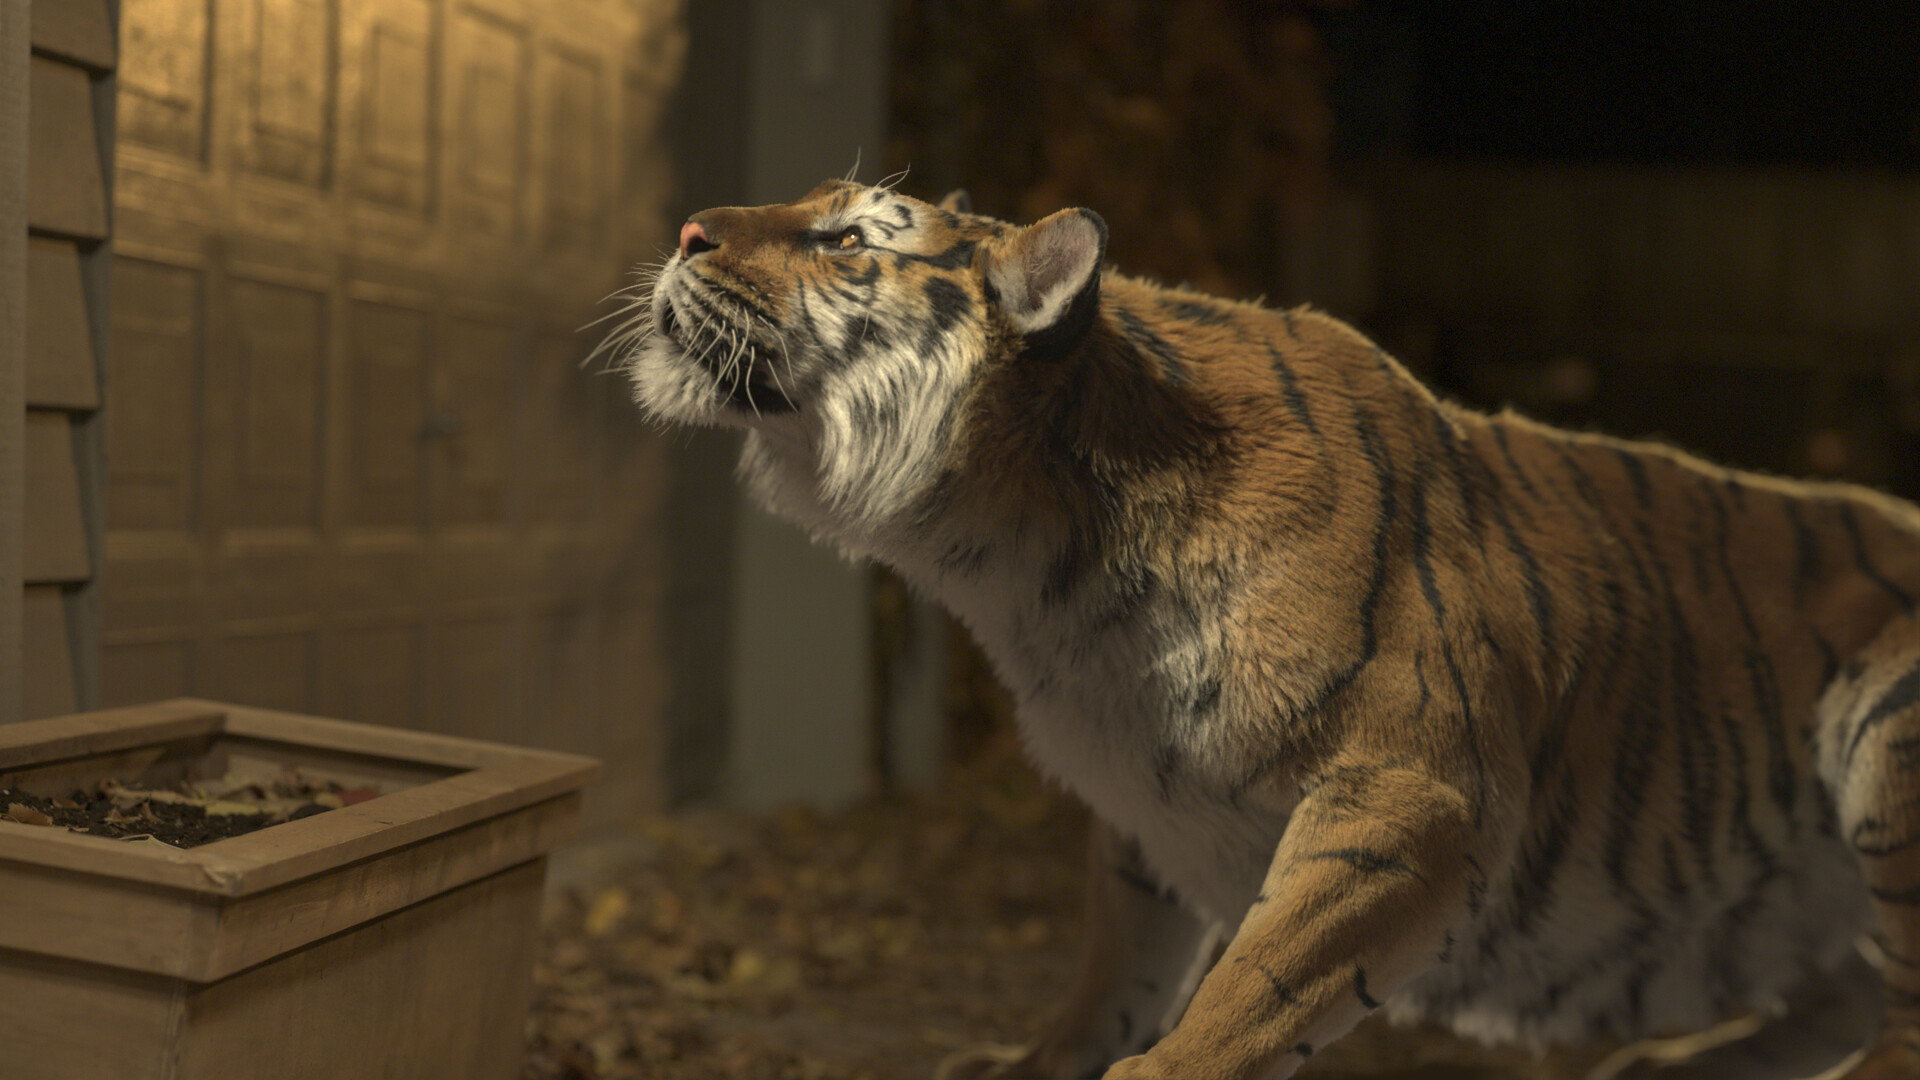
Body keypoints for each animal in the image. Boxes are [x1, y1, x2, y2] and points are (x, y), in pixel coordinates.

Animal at [611, 177, 1920, 1080]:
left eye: (849, 241)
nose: (683, 232)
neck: (1034, 564)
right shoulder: (1142, 808)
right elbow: (1118, 974)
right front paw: (1034, 1064)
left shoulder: (1410, 790)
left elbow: (1259, 988)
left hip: (1886, 744)